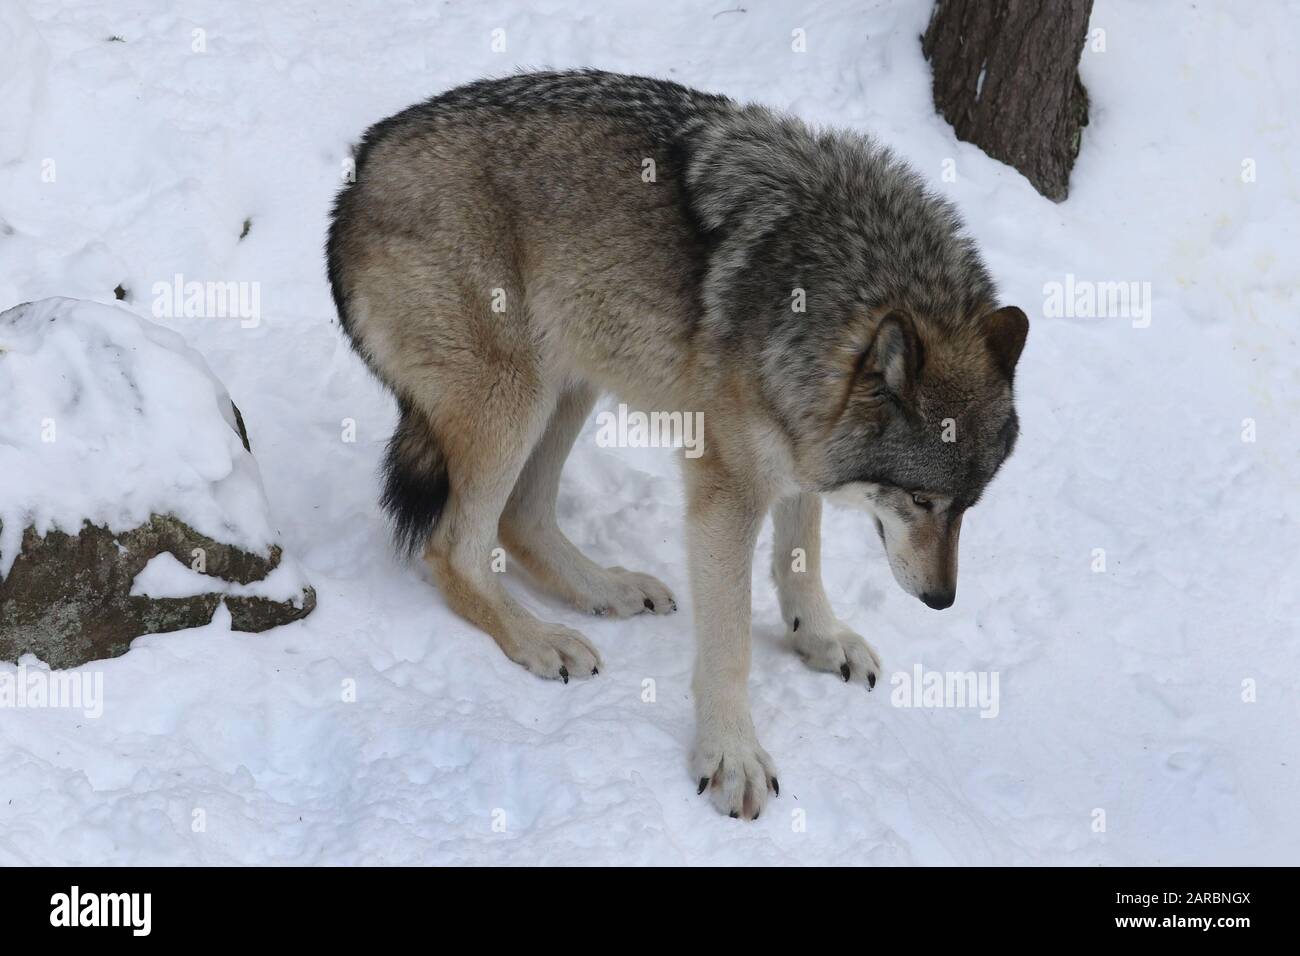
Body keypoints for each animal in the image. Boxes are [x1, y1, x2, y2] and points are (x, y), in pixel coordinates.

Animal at [327, 70, 1027, 821]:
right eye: (921, 500)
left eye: (967, 507)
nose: (942, 601)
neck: (831, 289)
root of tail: (359, 166)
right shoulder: (730, 489)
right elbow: (732, 644)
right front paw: (732, 758)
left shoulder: (798, 445)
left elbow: (802, 560)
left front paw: (820, 638)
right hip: (515, 396)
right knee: (454, 549)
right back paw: (541, 639)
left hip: (571, 379)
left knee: (519, 519)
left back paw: (606, 588)